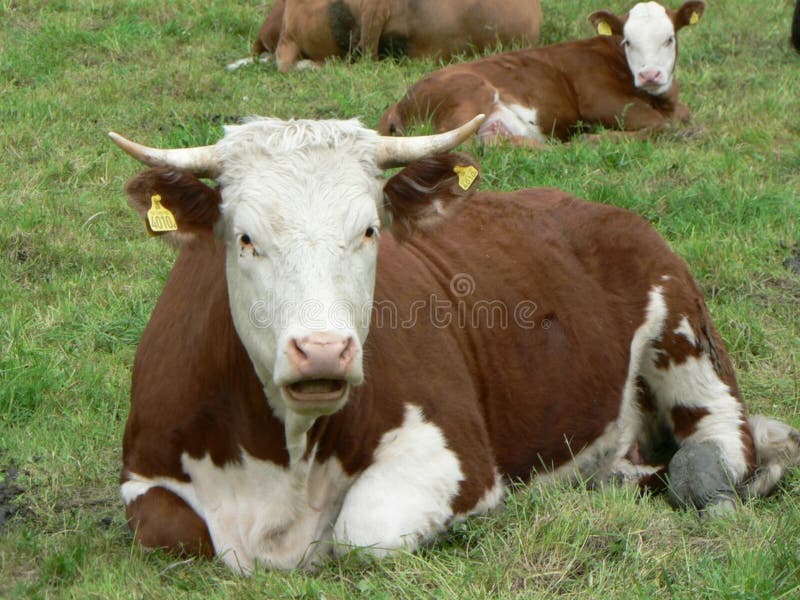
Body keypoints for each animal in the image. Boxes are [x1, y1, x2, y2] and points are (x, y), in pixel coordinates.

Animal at [108, 114, 800, 573]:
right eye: (246, 238)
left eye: (369, 230)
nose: (324, 350)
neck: (286, 457)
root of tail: (589, 206)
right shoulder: (145, 472)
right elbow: (173, 528)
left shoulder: (457, 455)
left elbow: (366, 530)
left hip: (686, 336)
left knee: (719, 447)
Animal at [379, 1, 705, 147]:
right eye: (628, 41)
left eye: (669, 39)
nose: (650, 75)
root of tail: (398, 103)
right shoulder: (601, 100)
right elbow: (662, 125)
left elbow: (684, 115)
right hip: (469, 92)